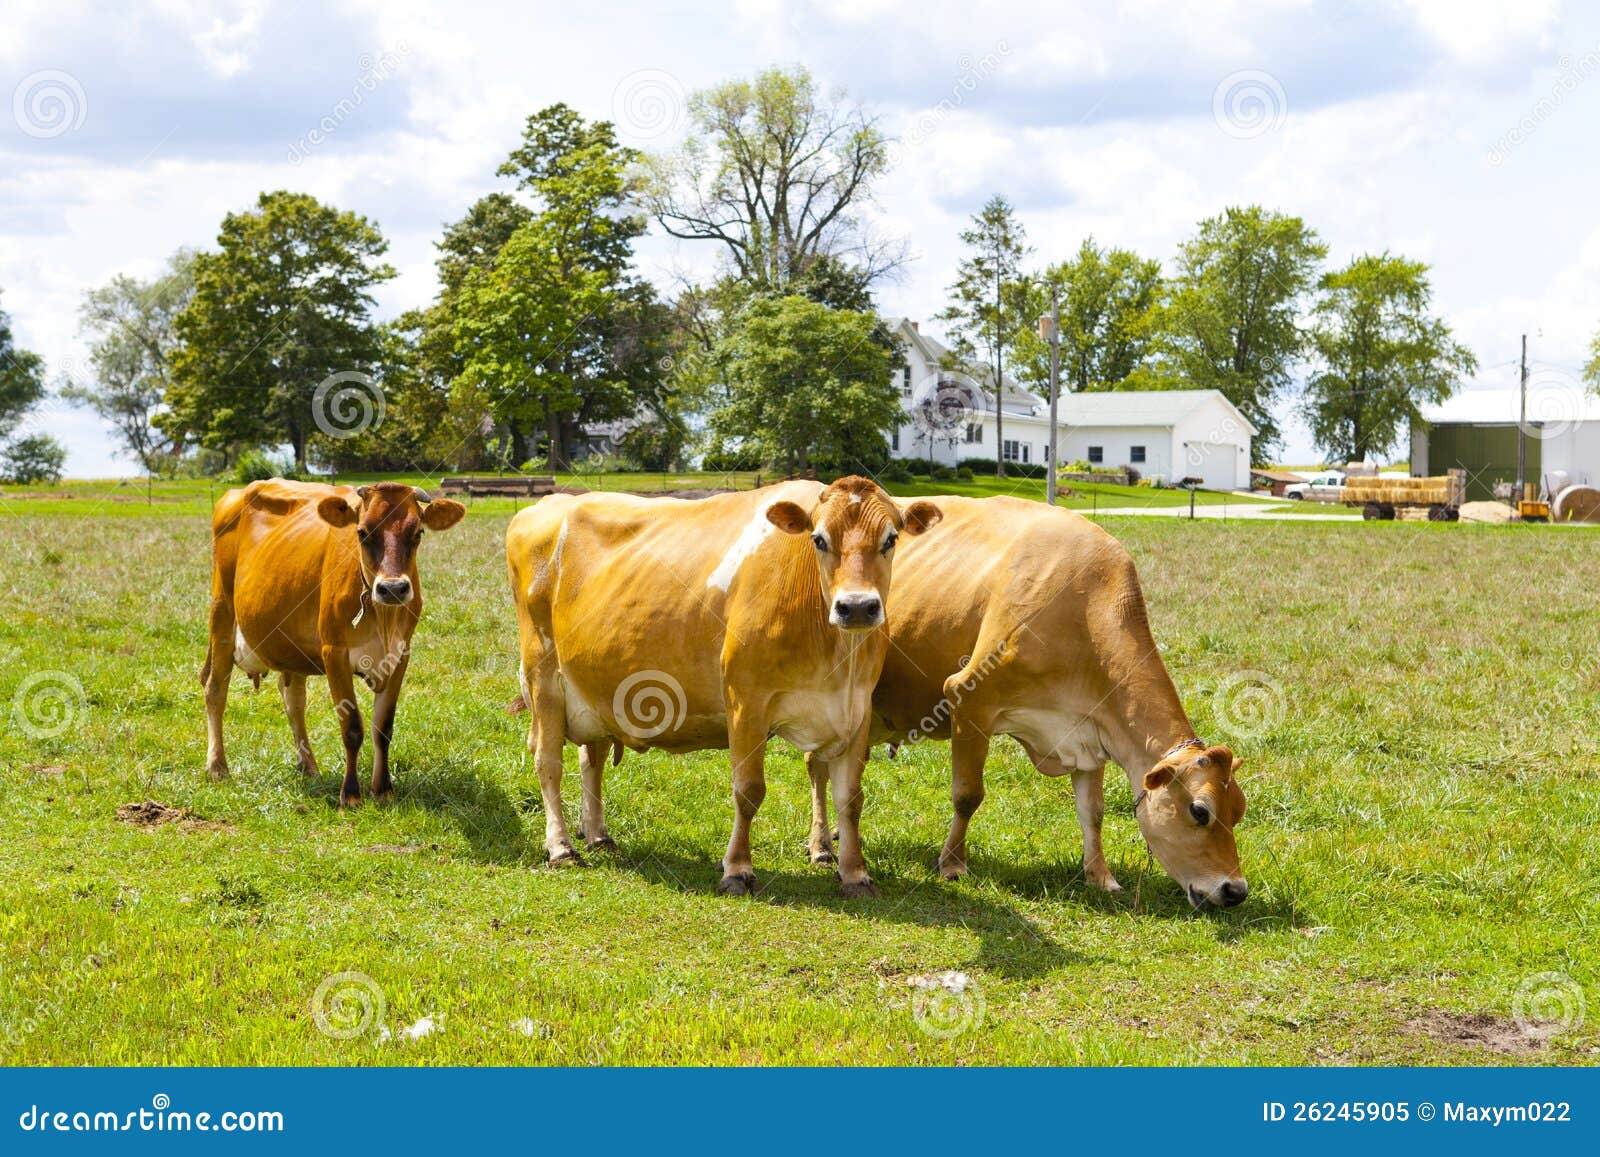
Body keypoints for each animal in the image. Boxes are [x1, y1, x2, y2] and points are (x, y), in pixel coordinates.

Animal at [202, 480, 465, 807]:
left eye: (418, 532)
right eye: (362, 532)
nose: (393, 588)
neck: (382, 616)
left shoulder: (400, 654)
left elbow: (384, 727)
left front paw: (383, 790)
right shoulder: (334, 653)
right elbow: (351, 726)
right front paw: (350, 795)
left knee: (293, 701)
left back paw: (308, 766)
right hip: (222, 613)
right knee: (215, 690)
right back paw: (217, 766)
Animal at [506, 476, 942, 897]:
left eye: (891, 539)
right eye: (818, 539)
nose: (856, 607)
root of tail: (549, 503)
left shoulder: (855, 710)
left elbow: (850, 799)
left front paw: (855, 874)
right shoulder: (746, 701)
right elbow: (748, 790)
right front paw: (737, 870)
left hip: (594, 685)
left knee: (590, 758)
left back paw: (598, 835)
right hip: (543, 676)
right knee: (548, 761)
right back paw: (561, 847)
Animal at [812, 495, 1248, 909]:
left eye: (1239, 811)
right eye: (1200, 811)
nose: (1235, 890)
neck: (1086, 608)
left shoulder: (1090, 731)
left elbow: (1093, 812)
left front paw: (1101, 877)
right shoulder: (969, 697)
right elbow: (967, 795)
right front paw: (952, 864)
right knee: (818, 769)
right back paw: (821, 848)